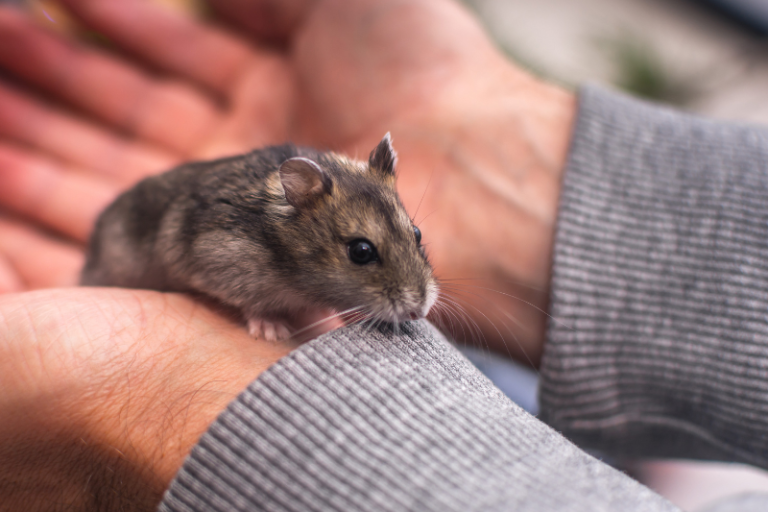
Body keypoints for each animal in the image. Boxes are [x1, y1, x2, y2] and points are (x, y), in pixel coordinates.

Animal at [81, 133, 439, 341]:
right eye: (361, 251)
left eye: (417, 232)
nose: (419, 312)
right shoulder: (222, 260)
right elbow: (254, 305)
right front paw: (273, 331)